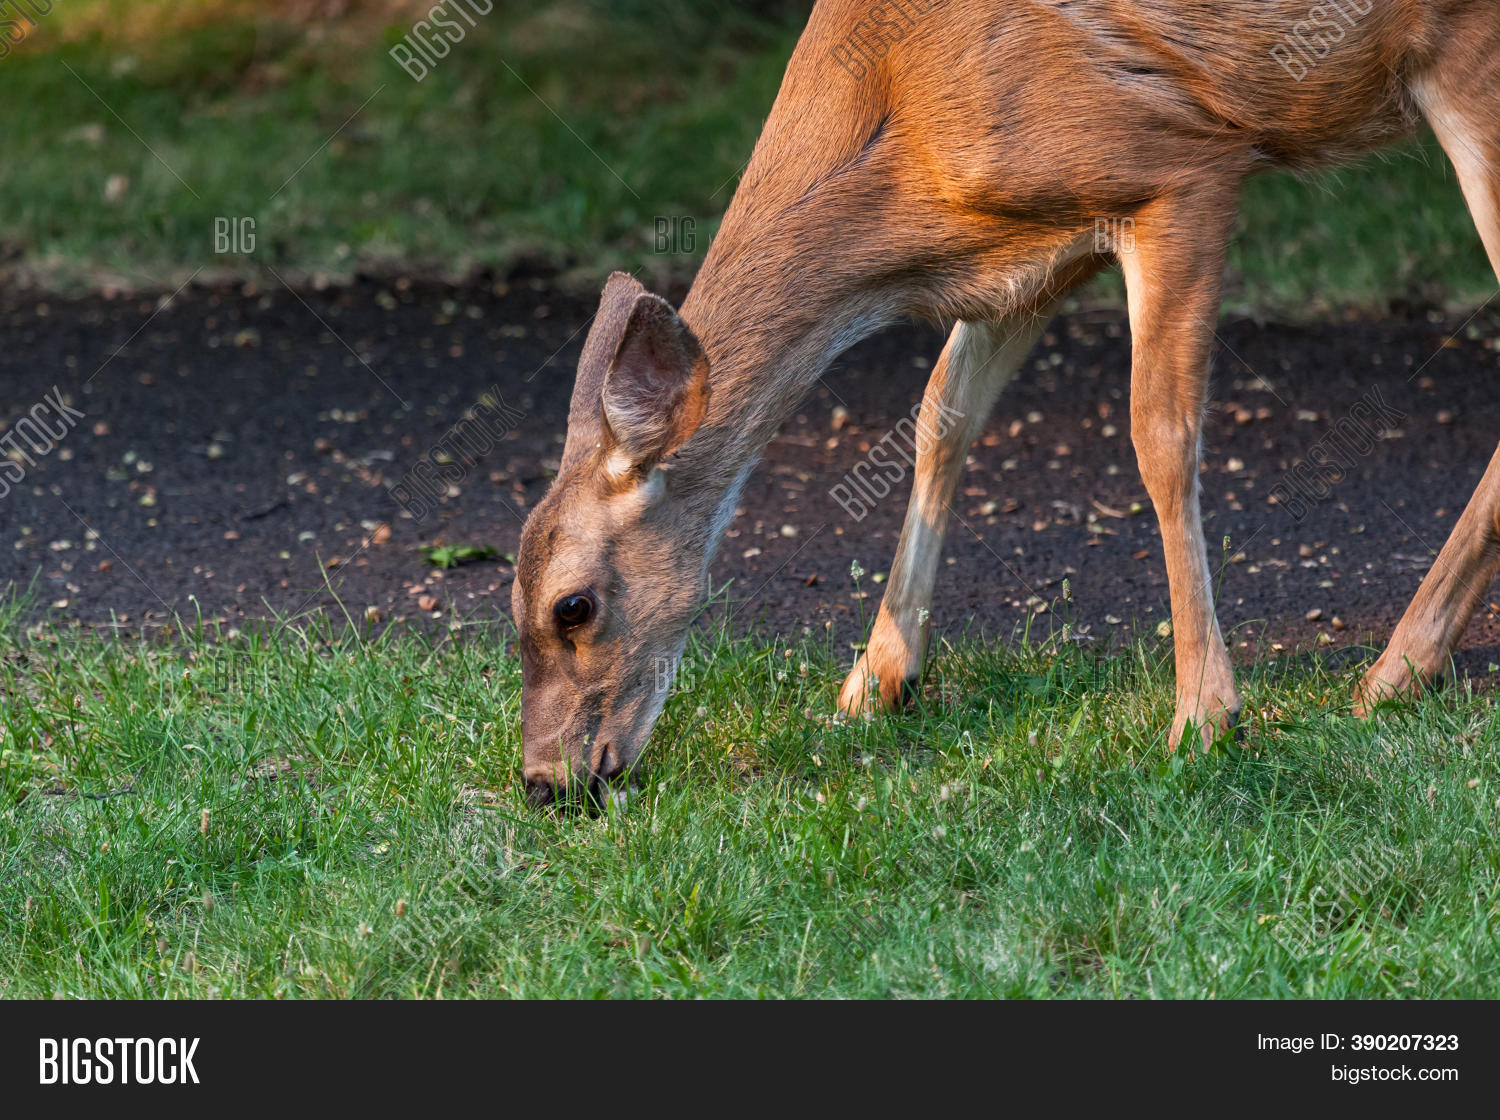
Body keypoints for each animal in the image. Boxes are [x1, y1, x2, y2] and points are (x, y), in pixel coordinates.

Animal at [512, 0, 1500, 805]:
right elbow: (941, 417)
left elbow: (1160, 437)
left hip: (1465, 62)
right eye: (509, 606)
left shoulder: (1181, 167)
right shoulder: (1028, 257)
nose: (545, 782)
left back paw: (1394, 668)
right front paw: (877, 680)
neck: (900, 119)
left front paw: (1205, 717)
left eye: (573, 607)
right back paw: (1405, 669)